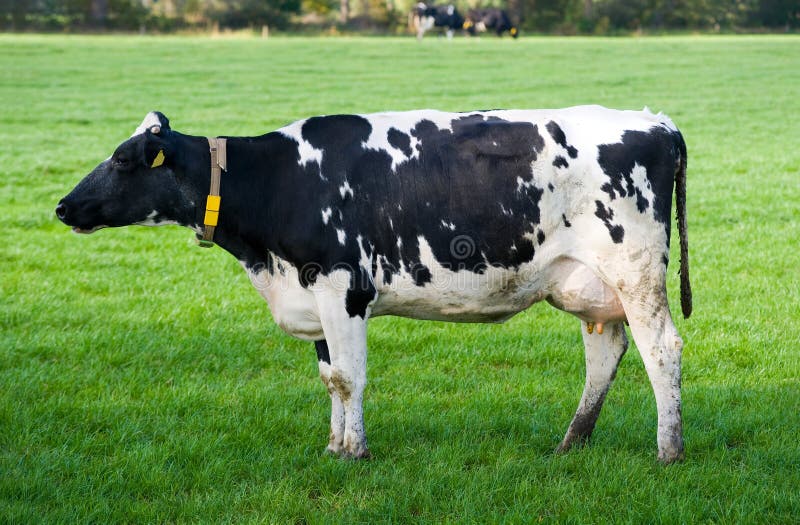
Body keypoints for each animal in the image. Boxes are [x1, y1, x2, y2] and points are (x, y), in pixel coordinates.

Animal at [56, 106, 692, 463]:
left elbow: (349, 377)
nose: (63, 207)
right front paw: (333, 446)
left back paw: (669, 451)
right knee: (605, 353)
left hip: (636, 272)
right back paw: (571, 443)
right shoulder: (312, 293)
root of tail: (655, 120)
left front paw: (354, 451)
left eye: (122, 159)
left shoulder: (344, 288)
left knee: (661, 350)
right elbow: (330, 378)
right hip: (591, 287)